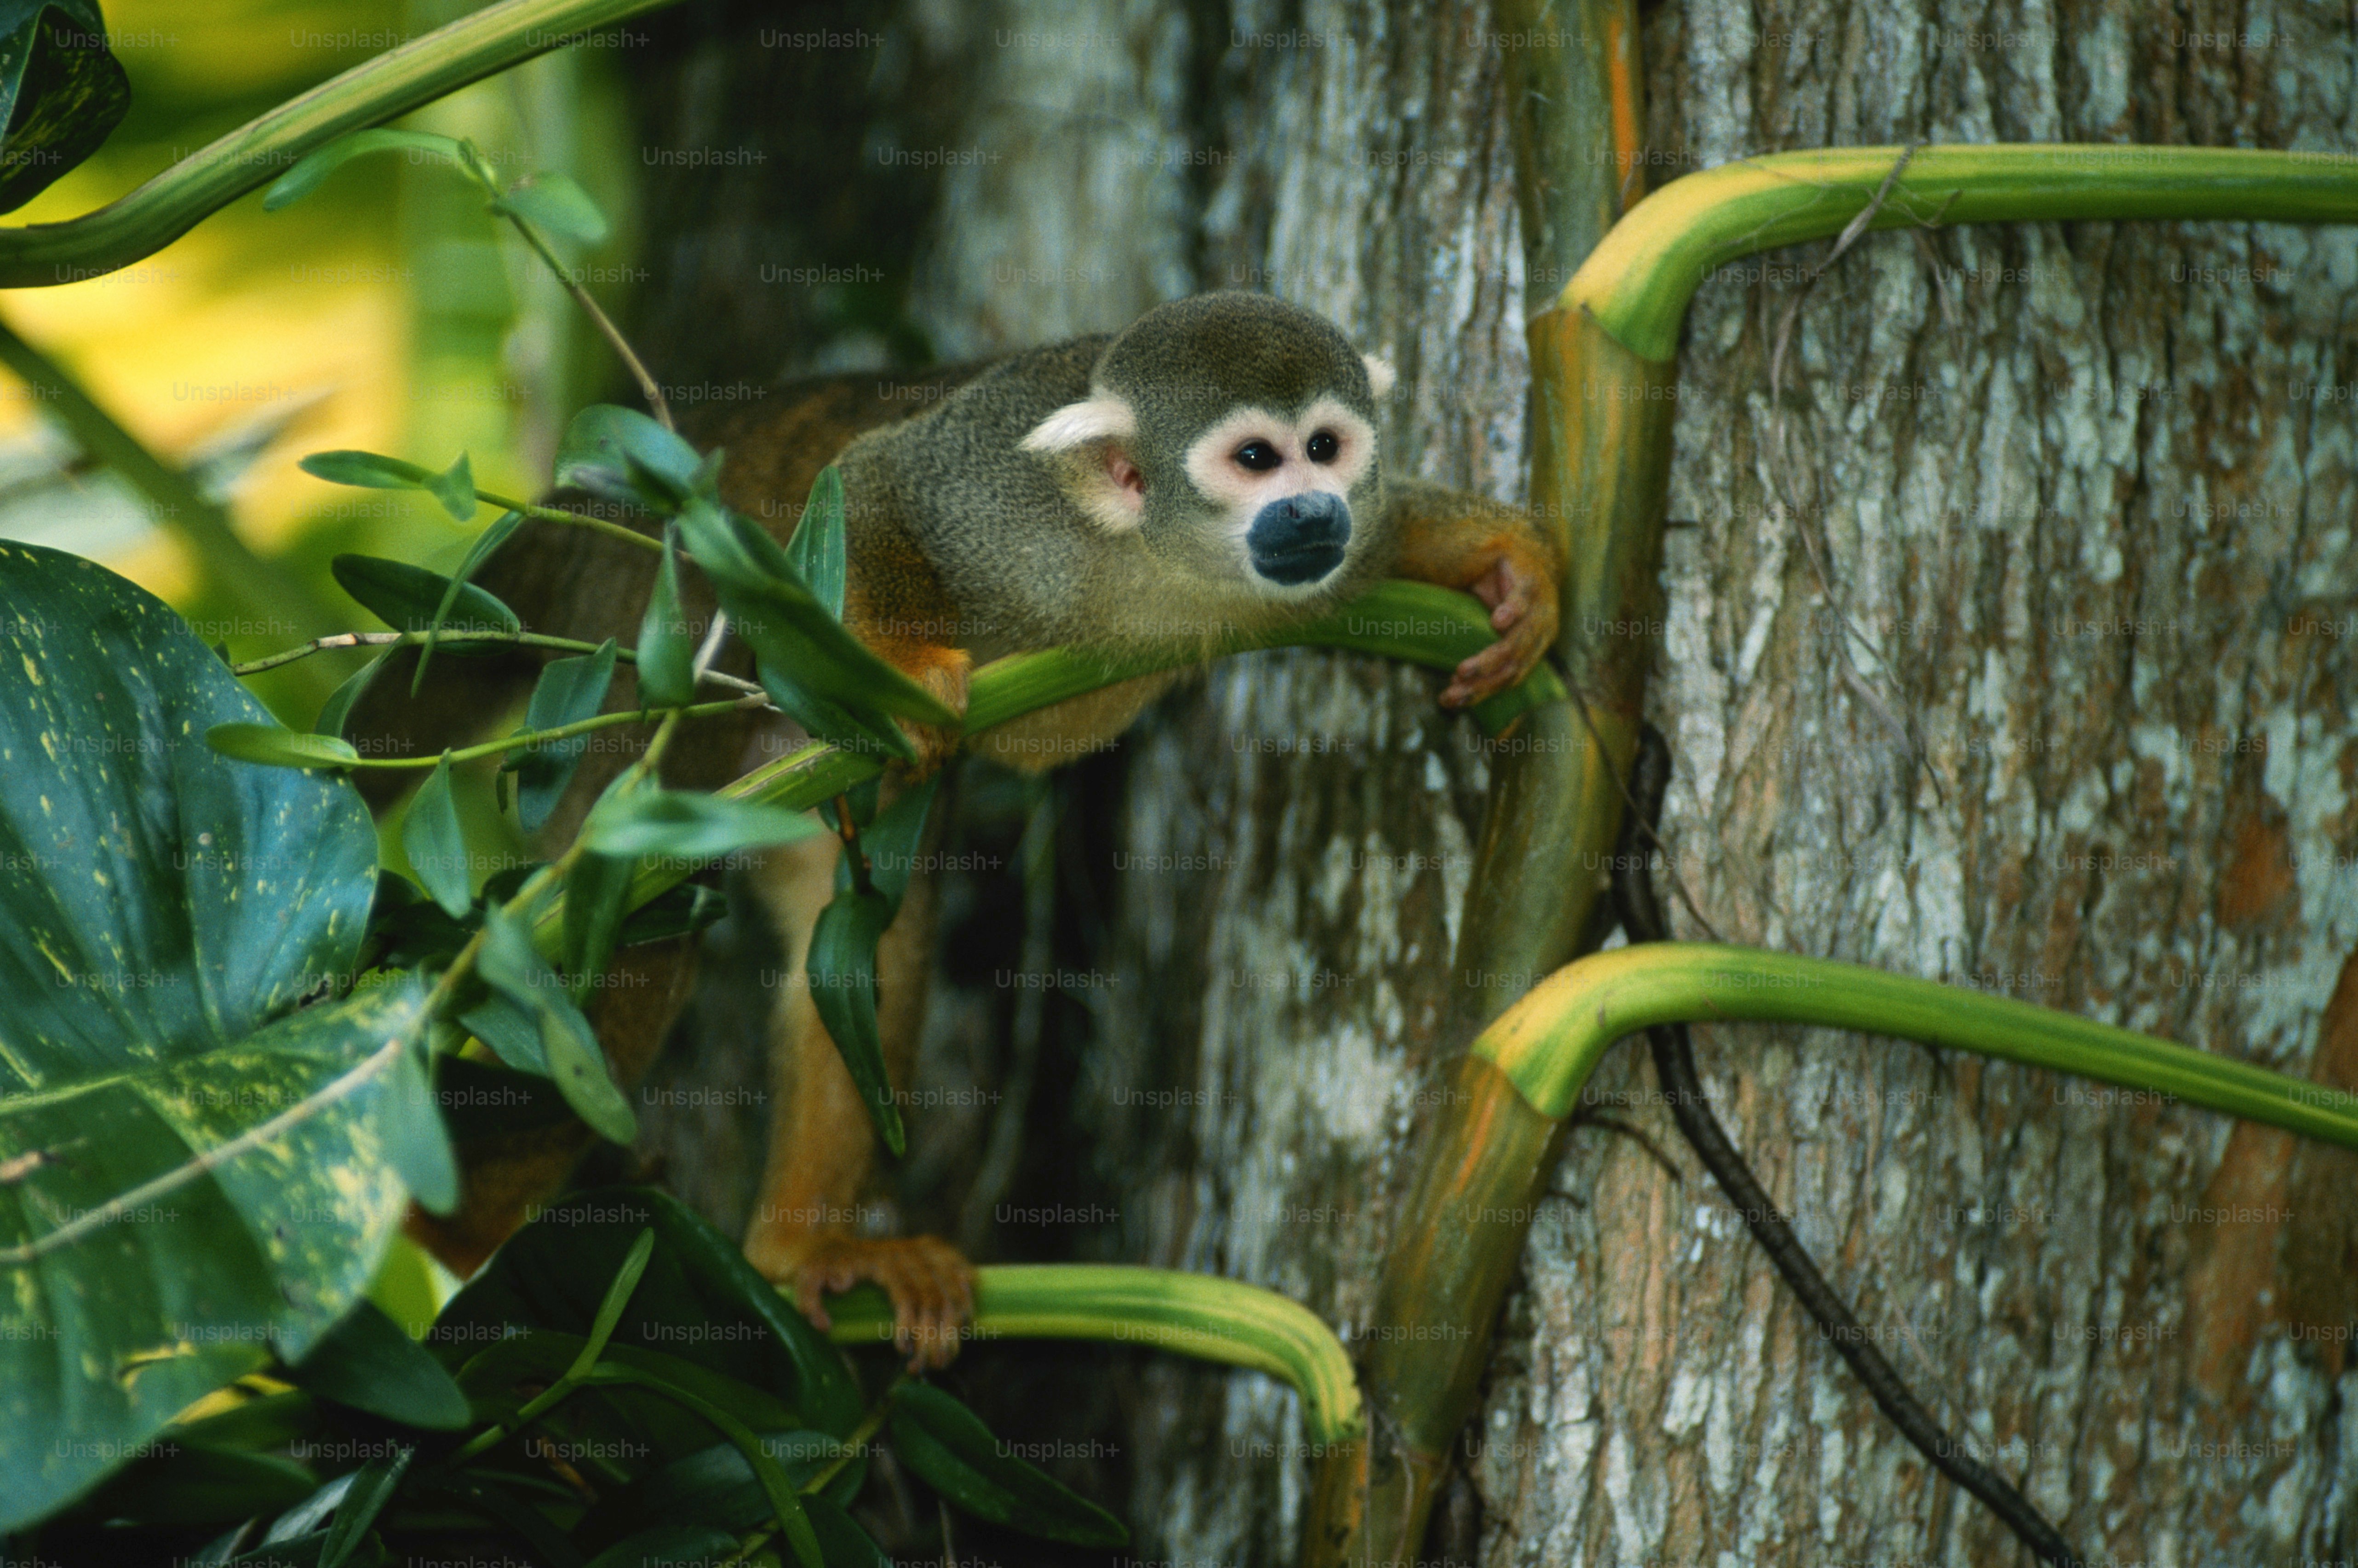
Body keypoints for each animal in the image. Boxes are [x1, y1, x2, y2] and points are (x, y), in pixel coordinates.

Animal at [356, 292, 1561, 1364]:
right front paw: (895, 669)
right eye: (1257, 460)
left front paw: (1509, 567)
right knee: (628, 923)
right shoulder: (1003, 506)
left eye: (1326, 446)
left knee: (859, 936)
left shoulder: (1335, 555)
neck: (1157, 559)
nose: (1313, 510)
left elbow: (1387, 535)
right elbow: (876, 479)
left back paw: (795, 1255)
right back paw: (459, 1227)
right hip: (641, 649)